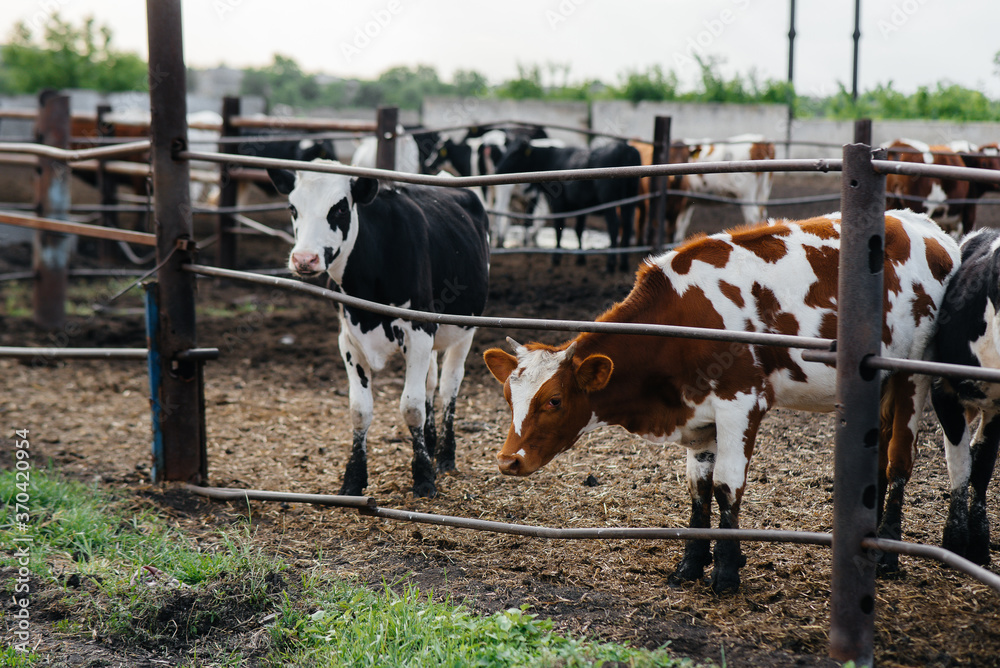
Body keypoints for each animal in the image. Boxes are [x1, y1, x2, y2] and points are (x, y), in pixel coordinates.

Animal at [267, 160, 490, 498]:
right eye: (293, 207)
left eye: (340, 208)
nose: (304, 259)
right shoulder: (348, 339)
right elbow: (360, 409)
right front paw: (353, 479)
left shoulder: (419, 331)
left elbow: (411, 406)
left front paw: (423, 477)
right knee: (430, 382)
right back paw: (431, 443)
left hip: (465, 328)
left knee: (449, 384)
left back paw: (445, 456)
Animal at [483, 210, 959, 593]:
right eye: (508, 395)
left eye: (554, 400)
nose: (508, 460)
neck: (684, 321)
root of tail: (927, 228)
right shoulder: (698, 419)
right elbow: (699, 489)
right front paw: (691, 565)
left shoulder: (740, 403)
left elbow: (728, 486)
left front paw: (726, 573)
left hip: (911, 374)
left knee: (899, 459)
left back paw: (888, 555)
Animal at [493, 139, 641, 272]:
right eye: (507, 150)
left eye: (514, 154)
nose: (498, 169)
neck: (551, 158)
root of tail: (625, 148)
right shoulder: (582, 206)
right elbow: (578, 230)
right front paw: (580, 259)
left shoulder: (558, 203)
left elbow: (559, 228)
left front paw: (556, 258)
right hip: (629, 200)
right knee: (627, 226)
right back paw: (623, 264)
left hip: (609, 201)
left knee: (614, 226)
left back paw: (610, 265)